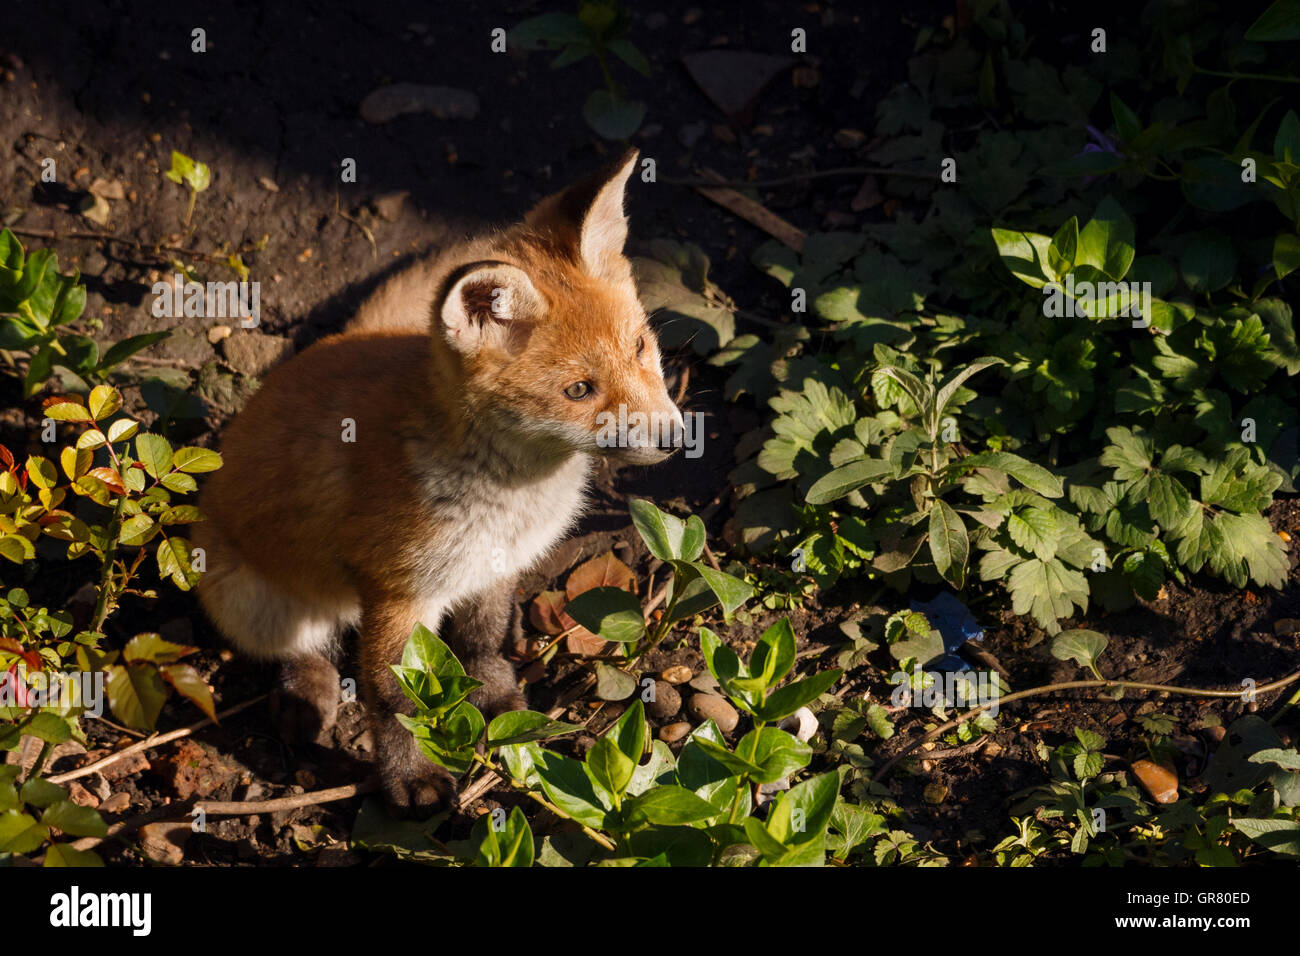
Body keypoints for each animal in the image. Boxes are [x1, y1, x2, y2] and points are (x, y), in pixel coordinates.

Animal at [195, 148, 683, 814]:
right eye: (580, 390)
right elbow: (395, 700)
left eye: (639, 347)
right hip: (247, 598)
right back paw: (306, 692)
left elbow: (482, 640)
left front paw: (500, 702)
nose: (677, 437)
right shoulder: (396, 594)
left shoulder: (493, 566)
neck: (511, 498)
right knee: (305, 645)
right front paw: (412, 778)